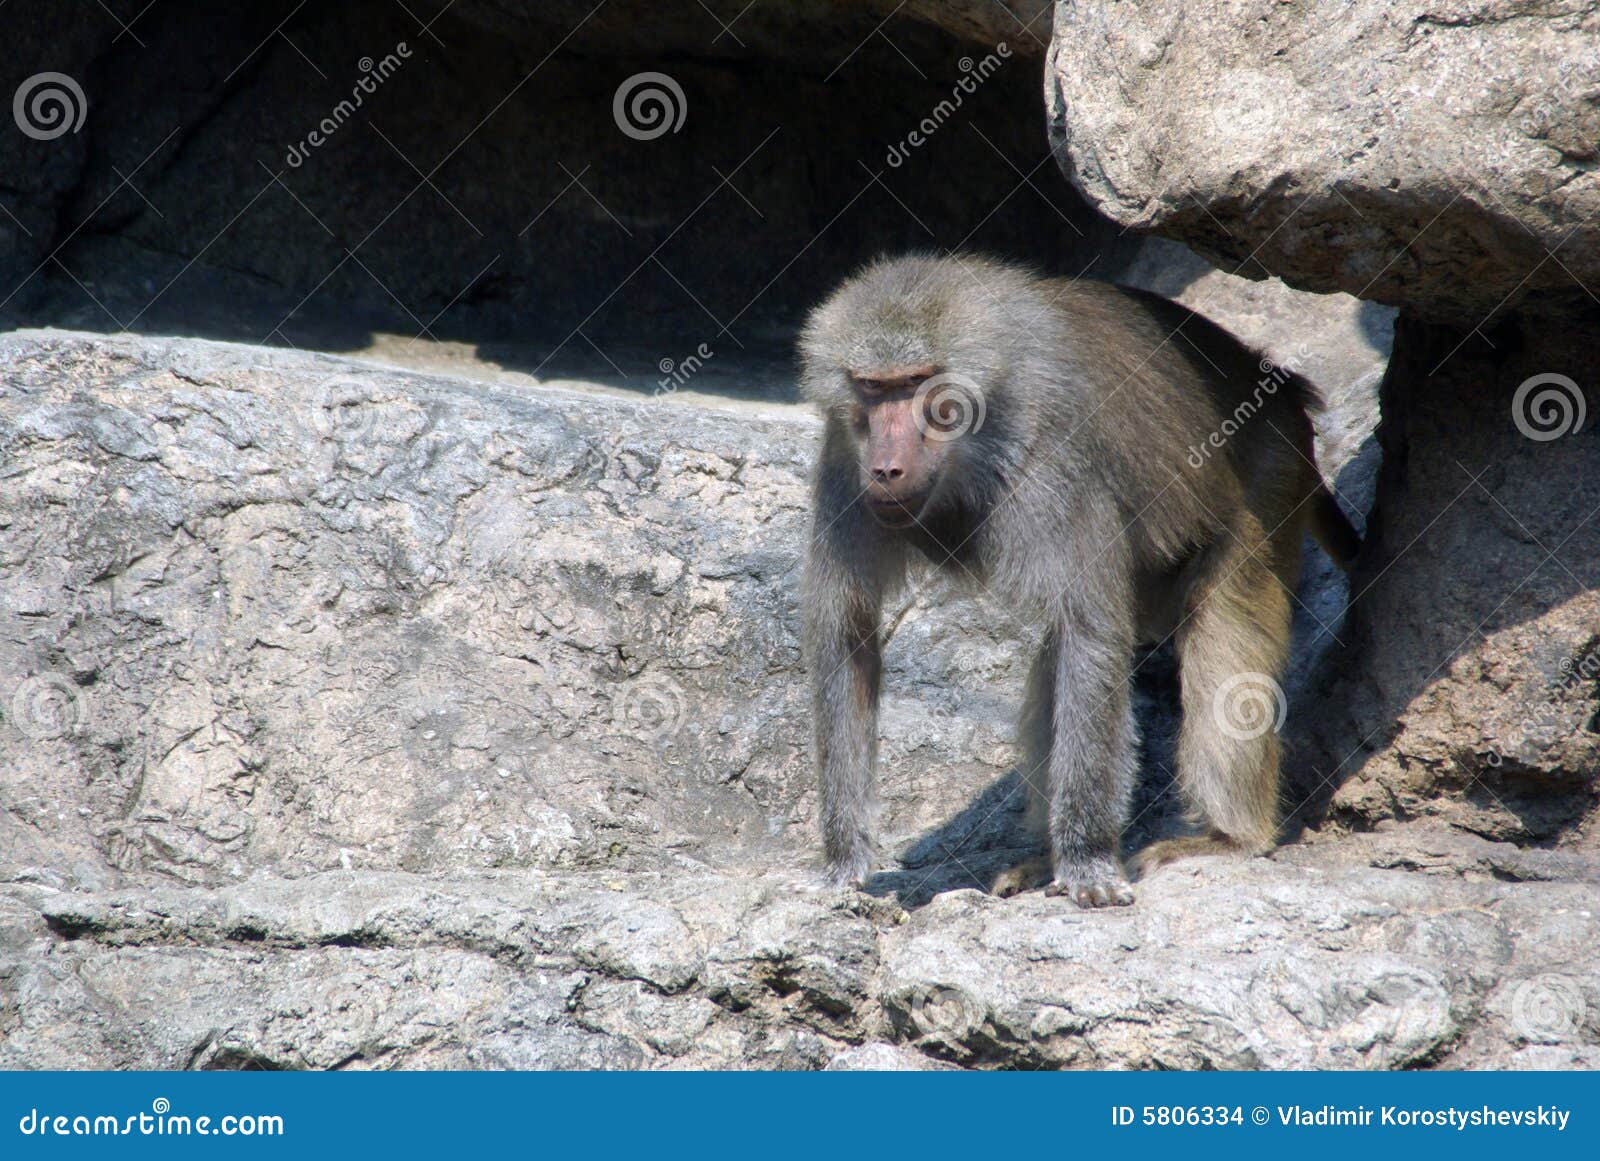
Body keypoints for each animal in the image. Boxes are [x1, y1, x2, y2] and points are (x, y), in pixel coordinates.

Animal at [798, 253, 1359, 907]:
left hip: (1269, 479)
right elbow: (847, 640)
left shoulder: (1053, 461)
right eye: (872, 387)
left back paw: (1229, 838)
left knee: (1223, 640)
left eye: (918, 384)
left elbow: (1089, 636)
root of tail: (1280, 385)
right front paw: (843, 864)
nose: (886, 469)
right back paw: (1046, 858)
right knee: (1057, 662)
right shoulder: (844, 461)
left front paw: (1089, 863)